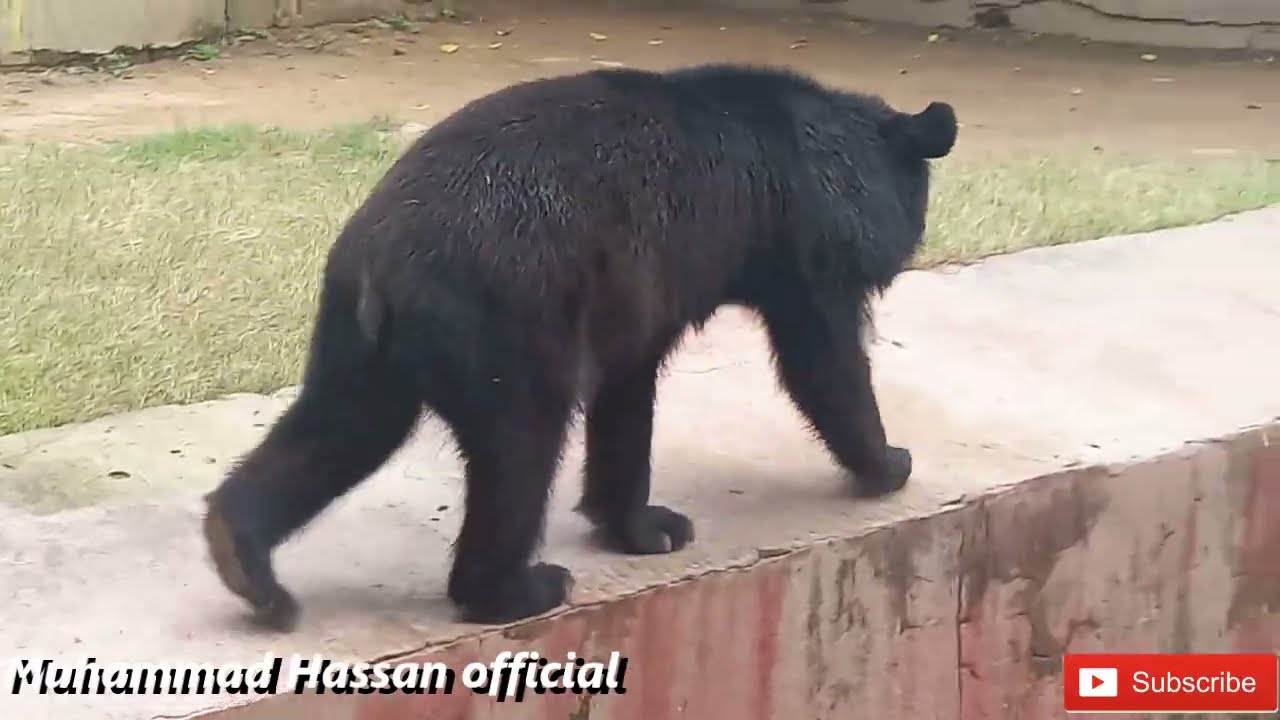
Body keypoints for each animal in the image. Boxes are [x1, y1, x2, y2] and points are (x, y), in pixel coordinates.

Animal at [201, 62, 958, 631]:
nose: (897, 262)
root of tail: (382, 261)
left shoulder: (637, 291)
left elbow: (627, 393)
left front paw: (646, 525)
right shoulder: (800, 239)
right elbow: (821, 356)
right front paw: (890, 461)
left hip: (362, 342)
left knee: (338, 428)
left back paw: (246, 560)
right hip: (506, 321)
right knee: (519, 449)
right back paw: (518, 589)